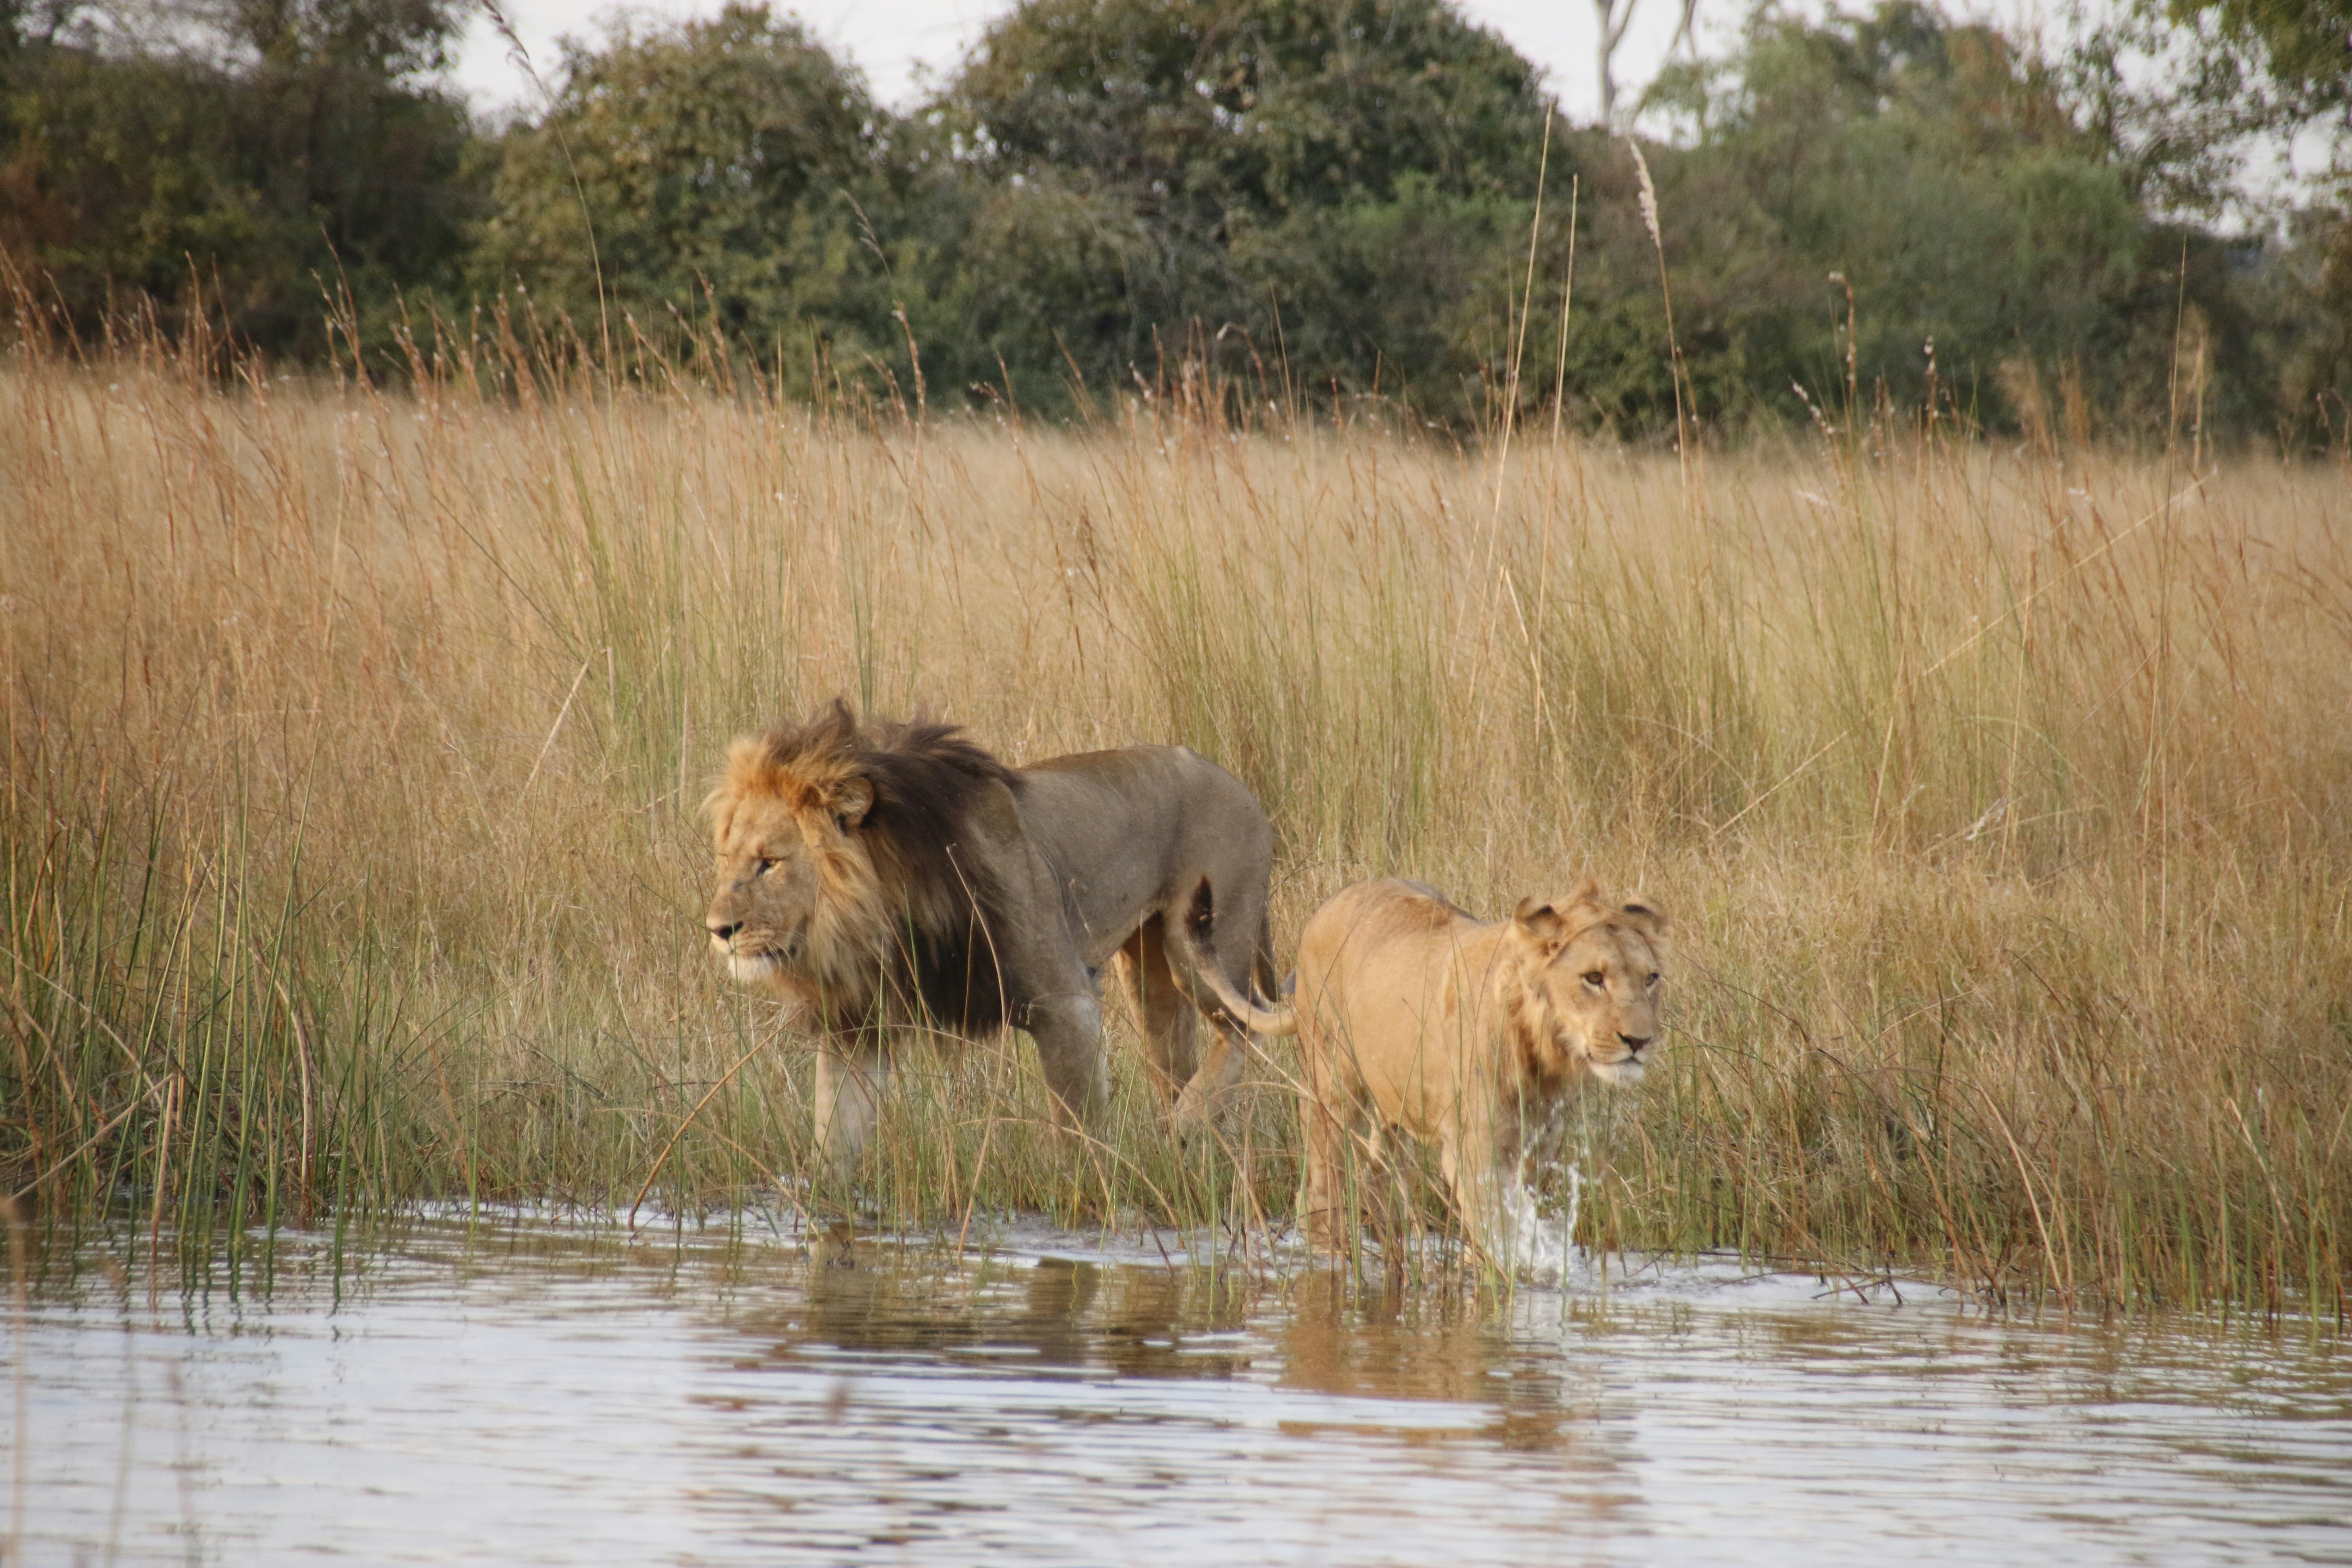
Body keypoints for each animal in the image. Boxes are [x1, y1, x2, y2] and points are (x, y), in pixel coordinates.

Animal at [702, 700, 1276, 1170]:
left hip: (1200, 946)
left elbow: (1079, 1141)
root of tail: (1242, 789)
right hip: (1148, 976)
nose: (718, 931)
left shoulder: (1066, 1005)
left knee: (1246, 1030)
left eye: (770, 863)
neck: (880, 915)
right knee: (1178, 1061)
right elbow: (833, 1144)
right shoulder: (858, 1027)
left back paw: (1182, 1129)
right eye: (727, 859)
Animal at [1171, 876, 1666, 1262]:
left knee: (1378, 1171)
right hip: (1331, 1089)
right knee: (1320, 1186)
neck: (1542, 1053)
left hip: (1394, 1105)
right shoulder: (1475, 1152)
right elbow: (1503, 1238)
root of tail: (1332, 904)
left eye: (1651, 979)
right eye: (1594, 979)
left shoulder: (1538, 1149)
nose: (1640, 1042)